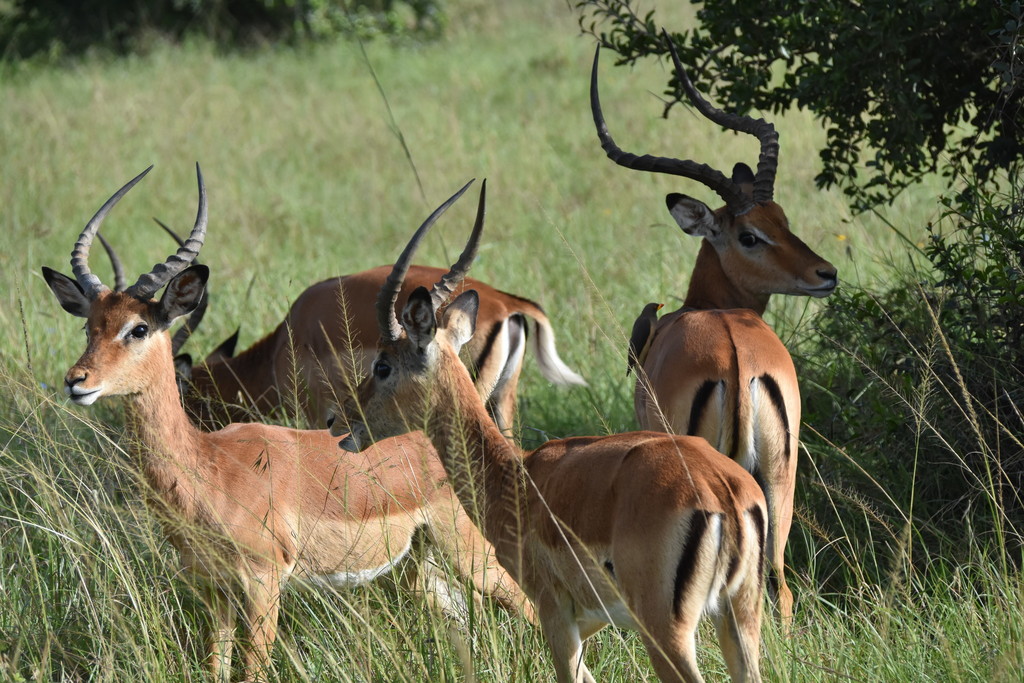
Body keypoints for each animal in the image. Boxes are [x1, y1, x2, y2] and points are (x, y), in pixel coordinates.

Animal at [42, 166, 534, 682]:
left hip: (475, 557)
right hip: (418, 570)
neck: (209, 465)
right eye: (90, 326)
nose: (77, 381)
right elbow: (215, 668)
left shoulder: (263, 585)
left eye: (138, 328)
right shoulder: (214, 590)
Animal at [332, 182, 768, 683]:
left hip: (668, 633)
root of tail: (724, 492)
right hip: (740, 622)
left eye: (383, 365)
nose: (339, 422)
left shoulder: (555, 615)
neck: (515, 478)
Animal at [590, 36, 838, 624]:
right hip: (780, 478)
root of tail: (737, 361)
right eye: (754, 232)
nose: (827, 274)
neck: (705, 307)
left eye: (780, 221)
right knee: (778, 583)